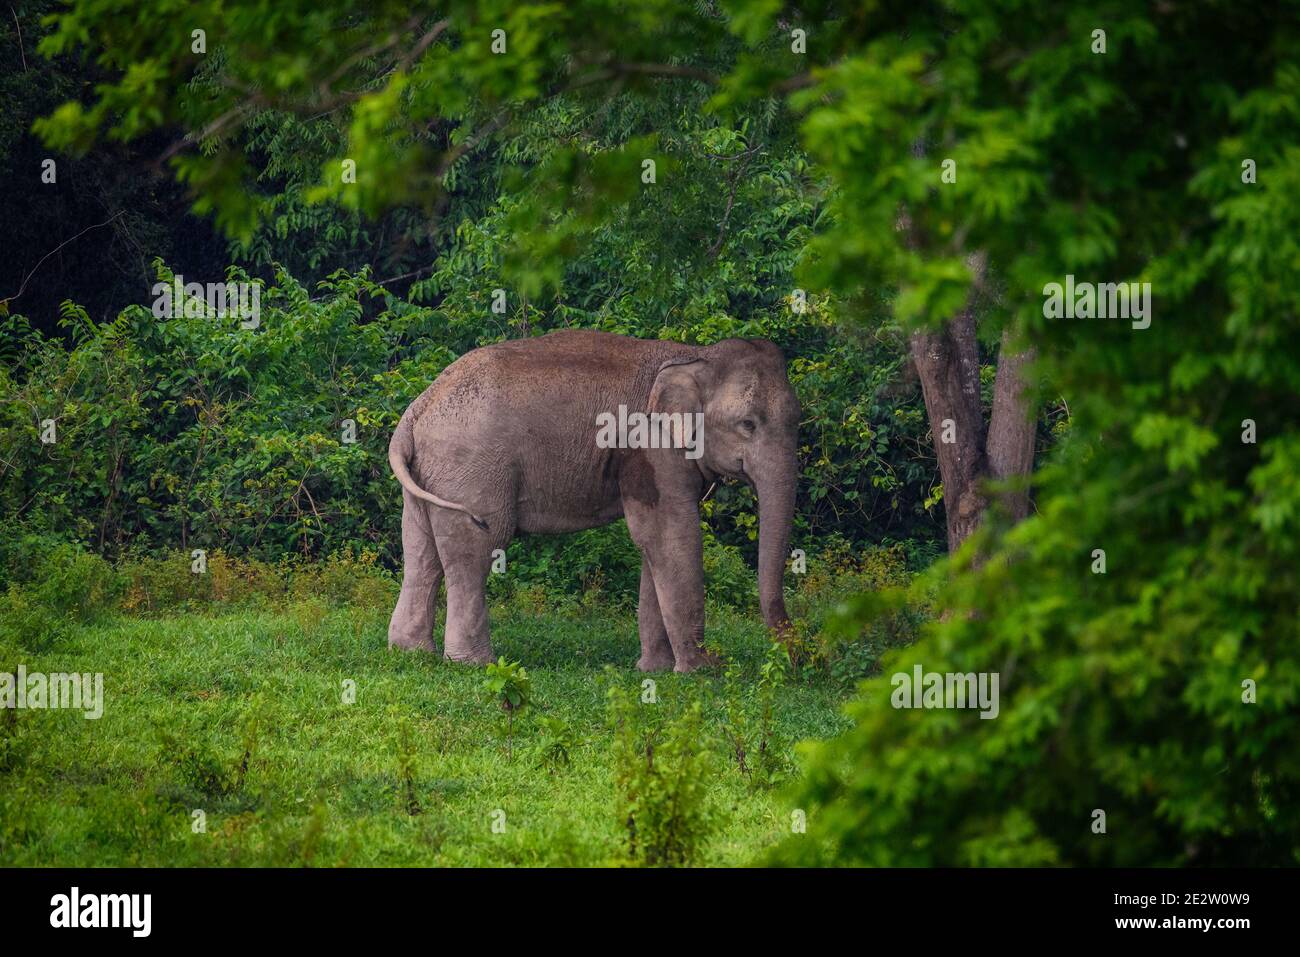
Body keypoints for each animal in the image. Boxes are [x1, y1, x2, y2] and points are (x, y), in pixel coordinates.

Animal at [386, 328, 800, 672]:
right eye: (747, 424)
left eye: (798, 419)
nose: (795, 657)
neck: (695, 357)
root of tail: (415, 412)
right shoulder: (650, 451)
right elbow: (668, 534)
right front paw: (703, 670)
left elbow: (652, 543)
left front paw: (654, 670)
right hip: (471, 471)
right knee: (476, 551)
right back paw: (474, 664)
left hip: (433, 476)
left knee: (421, 552)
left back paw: (412, 653)